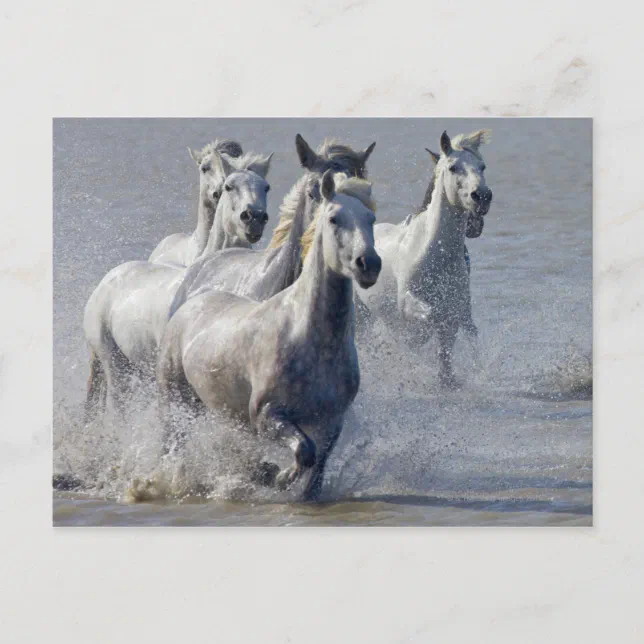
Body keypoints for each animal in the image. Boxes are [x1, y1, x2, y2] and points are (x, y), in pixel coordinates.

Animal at [156, 171, 381, 501]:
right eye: (334, 219)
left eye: (371, 218)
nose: (369, 264)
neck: (312, 341)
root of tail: (190, 301)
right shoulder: (267, 415)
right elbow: (304, 450)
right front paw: (278, 477)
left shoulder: (332, 421)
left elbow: (317, 465)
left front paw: (279, 478)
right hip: (175, 400)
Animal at [355, 129, 493, 388]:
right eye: (453, 167)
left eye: (482, 166)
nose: (482, 196)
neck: (433, 254)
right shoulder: (408, 304)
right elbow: (427, 319)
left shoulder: (457, 308)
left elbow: (450, 348)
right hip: (360, 315)